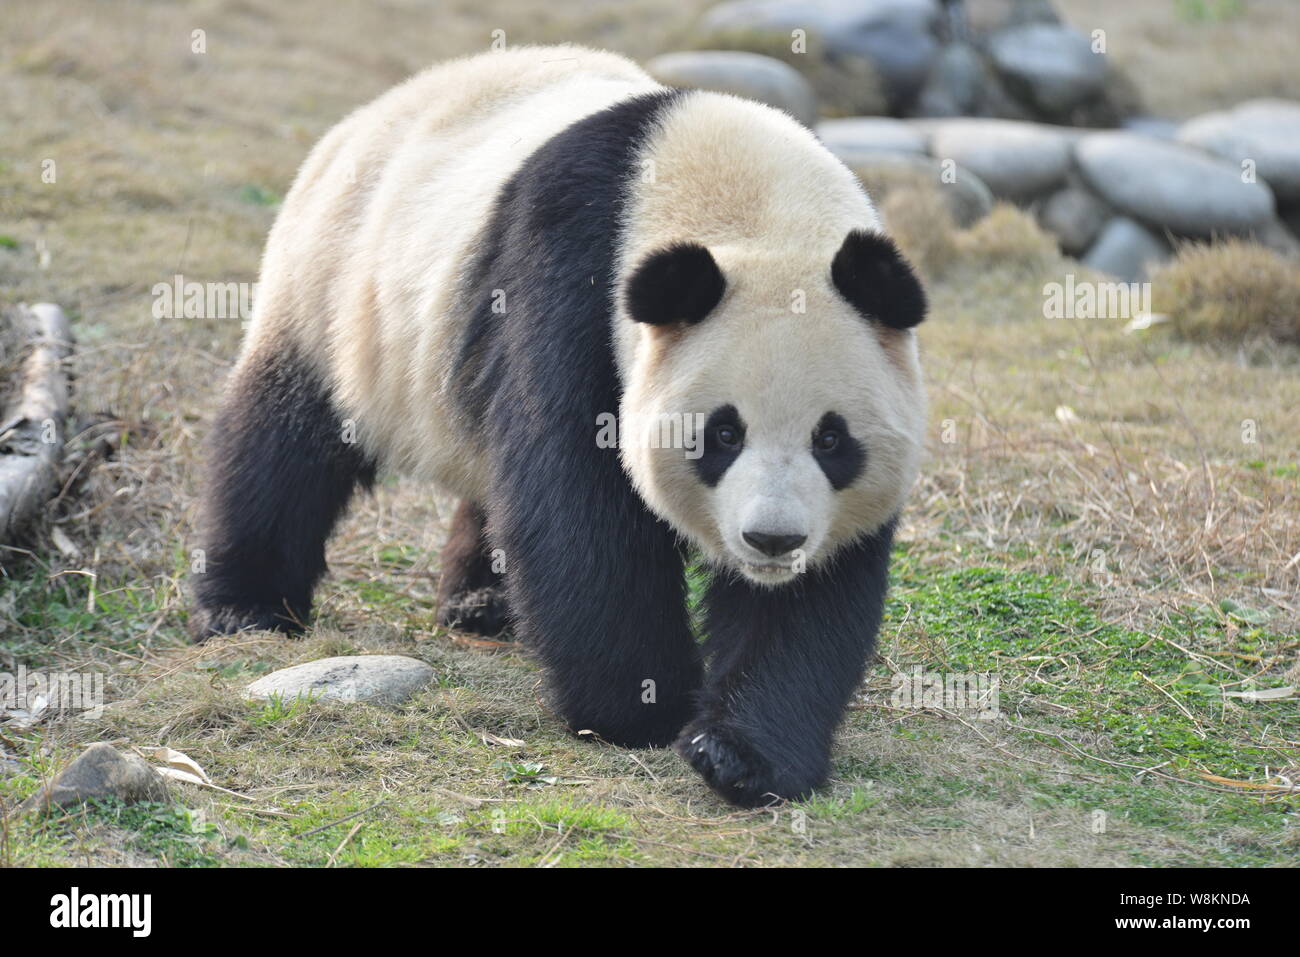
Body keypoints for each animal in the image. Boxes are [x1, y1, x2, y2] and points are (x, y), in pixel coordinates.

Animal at [193, 45, 928, 807]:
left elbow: (816, 593)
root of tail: (377, 110)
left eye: (831, 439)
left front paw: (743, 754)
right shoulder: (572, 275)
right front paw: (640, 705)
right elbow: (577, 501)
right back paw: (245, 607)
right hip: (334, 283)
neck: (747, 200)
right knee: (286, 440)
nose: (772, 539)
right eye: (723, 435)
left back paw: (481, 601)